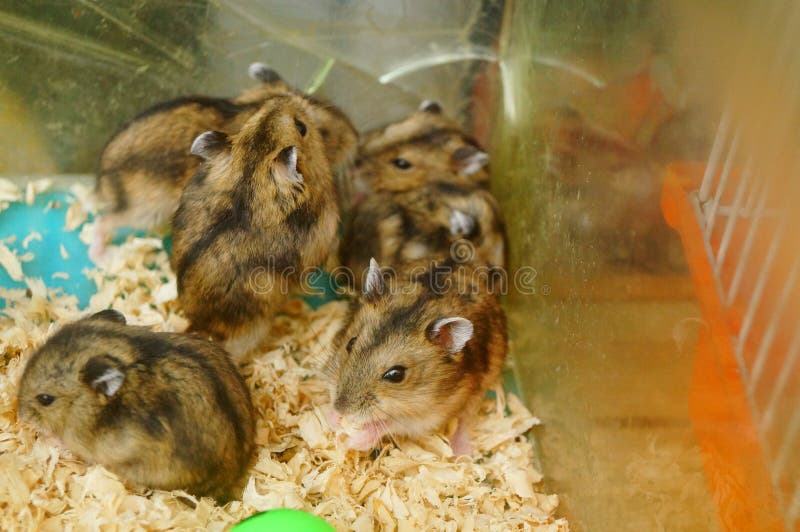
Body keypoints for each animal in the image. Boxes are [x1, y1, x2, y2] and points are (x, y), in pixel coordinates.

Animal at [92, 63, 356, 260]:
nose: (356, 138)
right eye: (321, 134)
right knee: (103, 222)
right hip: (144, 210)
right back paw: (108, 256)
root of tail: (100, 182)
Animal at [325, 258, 507, 455]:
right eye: (350, 343)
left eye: (396, 375)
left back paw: (462, 453)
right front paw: (332, 419)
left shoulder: (426, 416)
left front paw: (354, 442)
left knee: (464, 419)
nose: (340, 407)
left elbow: (388, 423)